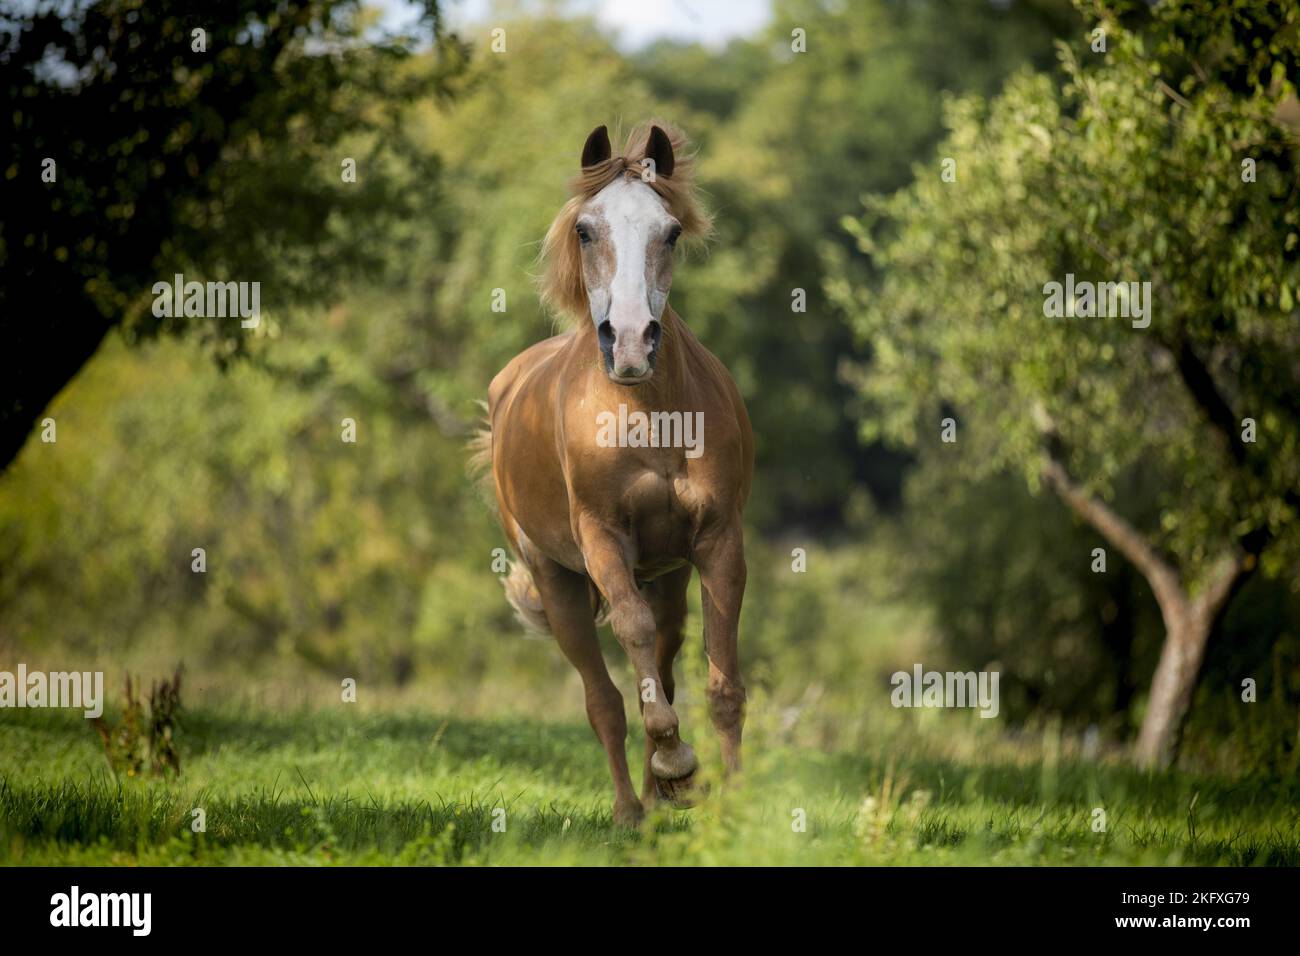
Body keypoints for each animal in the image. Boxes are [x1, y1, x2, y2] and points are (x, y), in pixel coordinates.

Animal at [472, 122, 754, 826]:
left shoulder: (718, 541)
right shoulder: (602, 540)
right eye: (585, 230)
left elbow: (721, 681)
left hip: (667, 573)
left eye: (671, 231)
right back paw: (632, 809)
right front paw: (678, 763)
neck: (647, 417)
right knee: (603, 698)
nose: (629, 341)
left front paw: (729, 799)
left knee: (664, 662)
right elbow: (631, 635)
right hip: (557, 581)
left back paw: (660, 797)